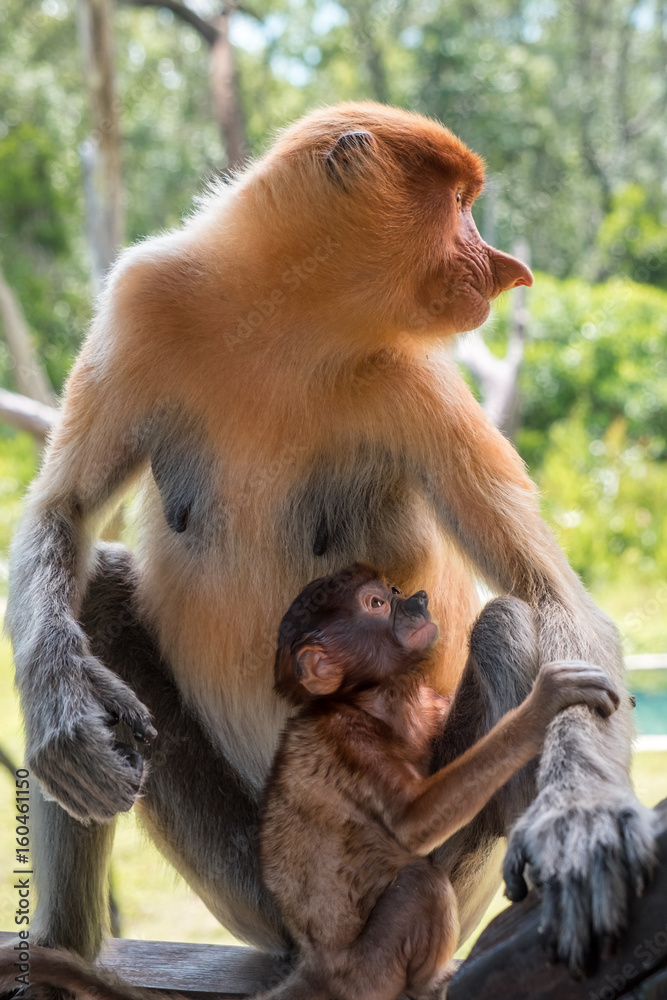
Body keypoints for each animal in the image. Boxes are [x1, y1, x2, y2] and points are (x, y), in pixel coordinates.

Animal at [5, 102, 655, 979]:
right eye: (458, 205)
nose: (506, 268)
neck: (293, 319)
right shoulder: (145, 298)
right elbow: (64, 510)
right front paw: (67, 718)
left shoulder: (417, 383)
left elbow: (548, 592)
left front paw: (580, 823)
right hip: (247, 882)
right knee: (100, 588)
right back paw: (63, 959)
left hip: (437, 867)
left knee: (508, 620)